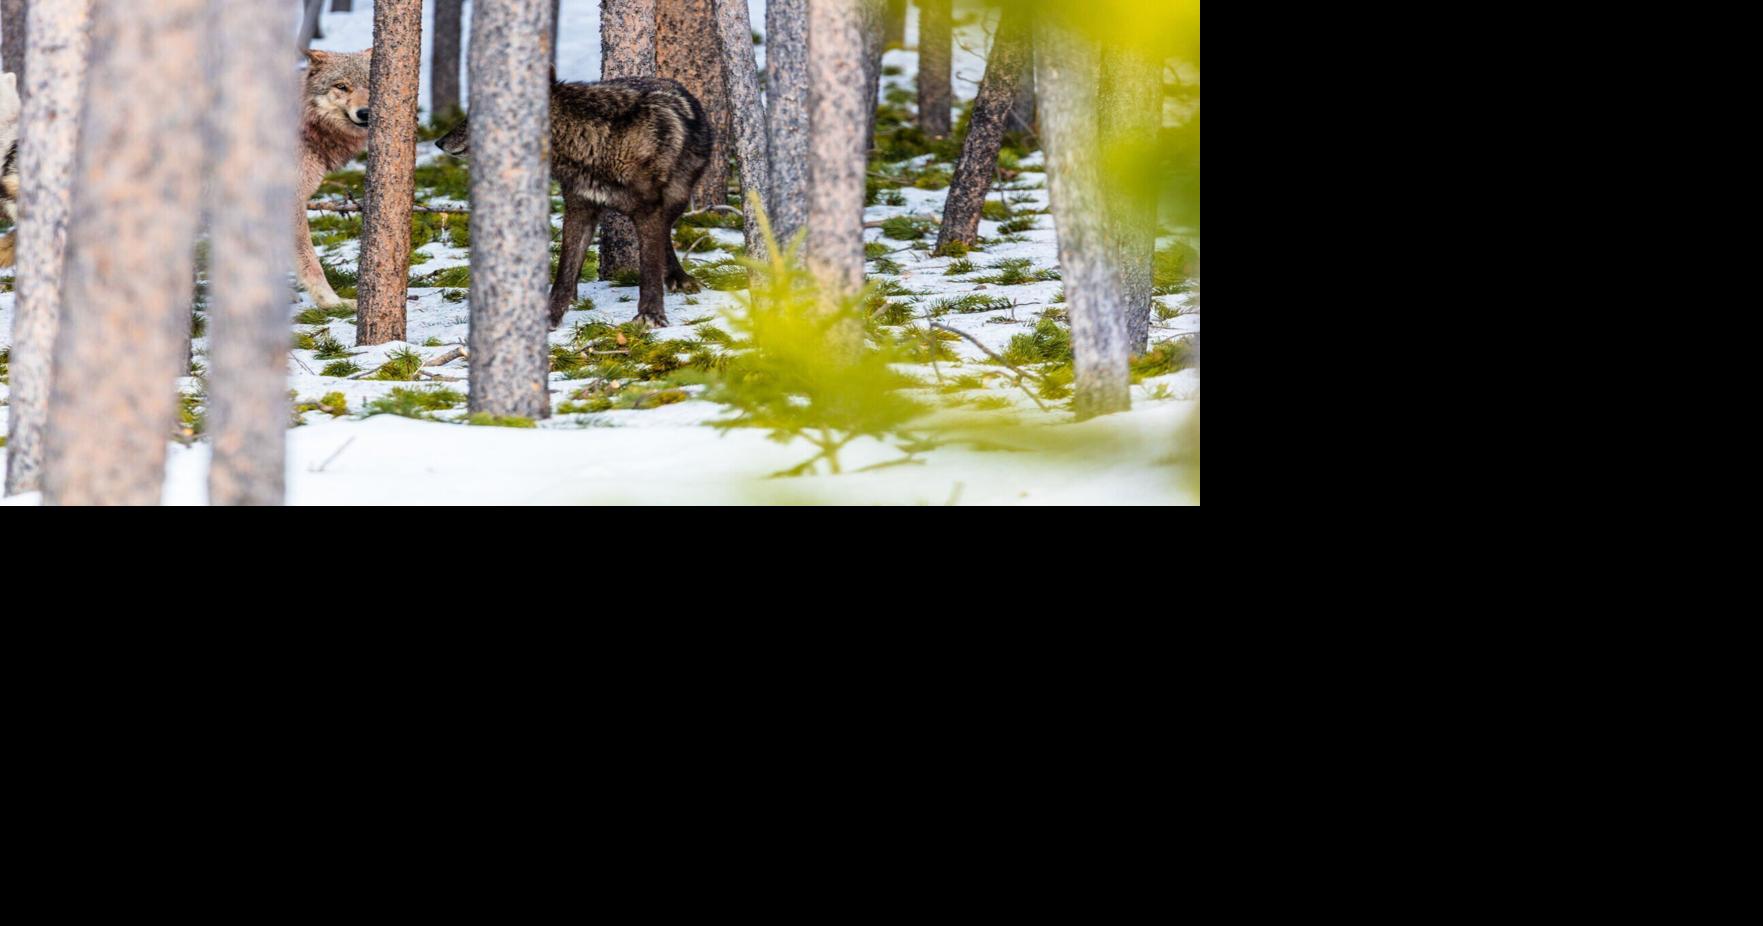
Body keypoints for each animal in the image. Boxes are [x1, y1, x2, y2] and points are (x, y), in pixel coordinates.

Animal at [436, 76, 712, 329]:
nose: (439, 142)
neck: (595, 146)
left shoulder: (648, 210)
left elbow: (650, 265)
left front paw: (650, 314)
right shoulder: (579, 208)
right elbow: (565, 268)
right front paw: (551, 315)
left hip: (677, 198)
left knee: (664, 234)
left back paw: (679, 278)